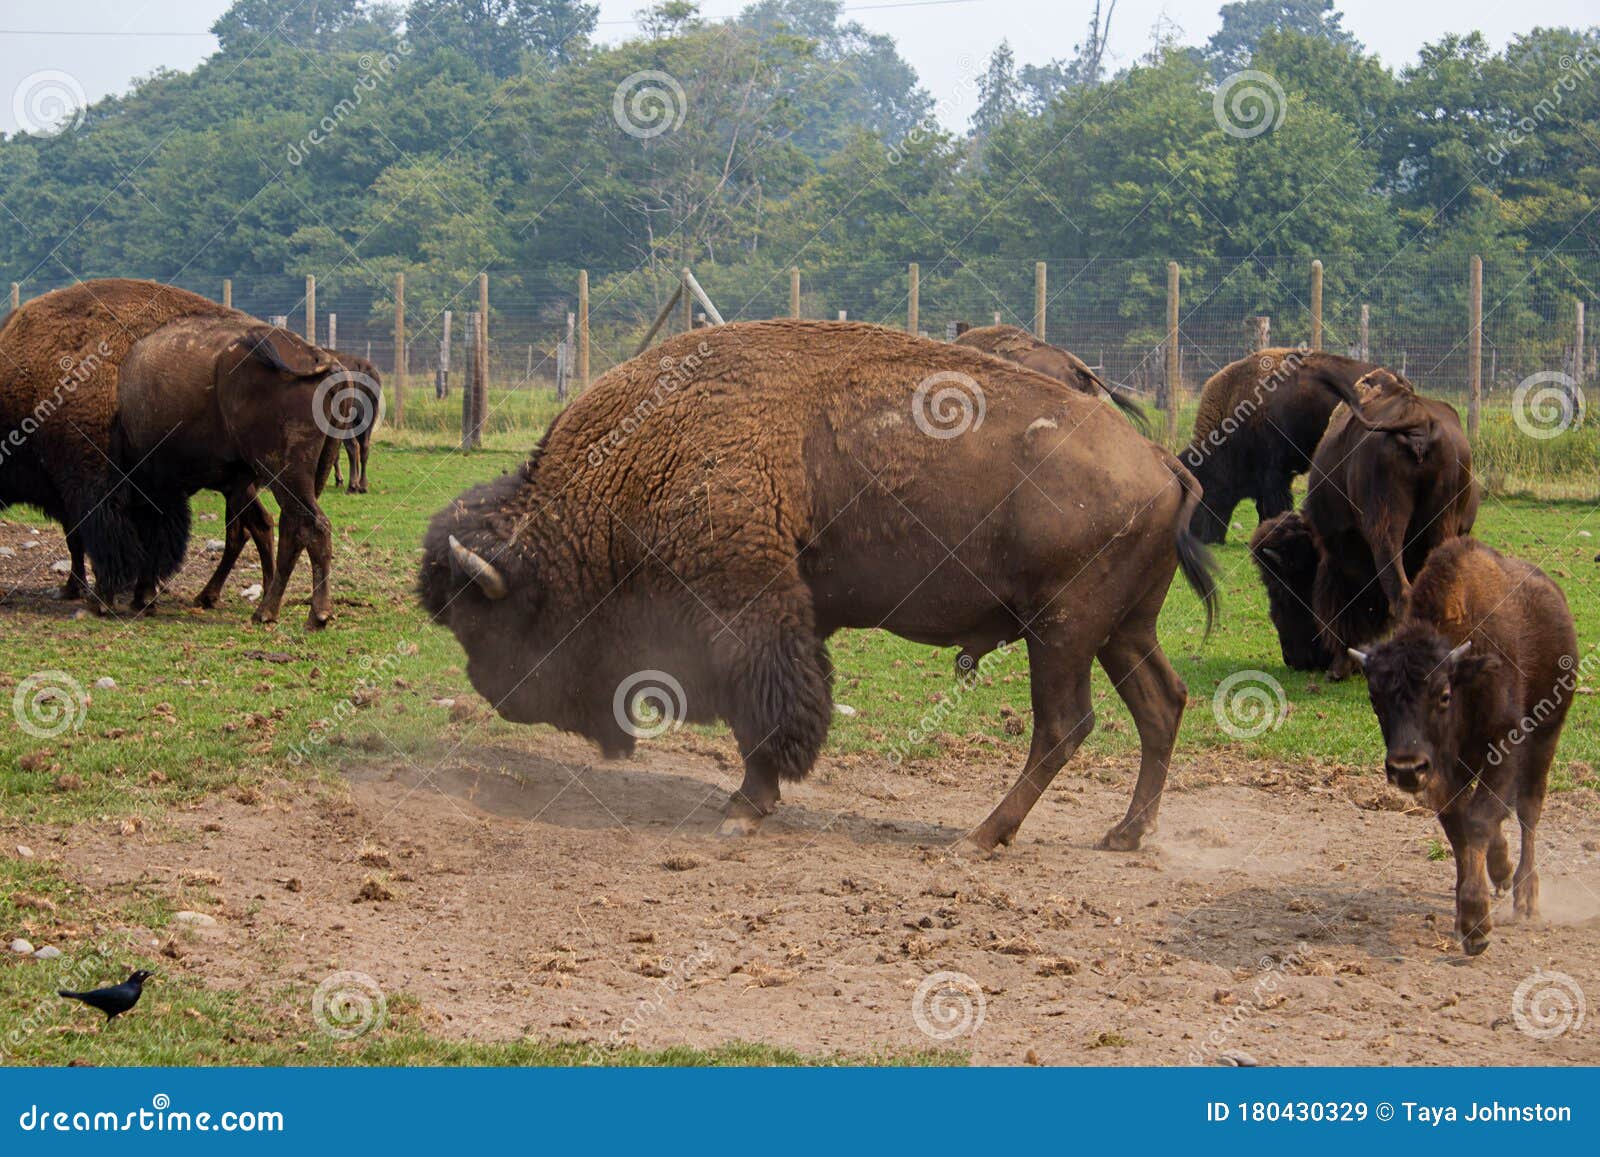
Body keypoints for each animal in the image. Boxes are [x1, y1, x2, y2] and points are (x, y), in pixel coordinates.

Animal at [422, 320, 1218, 853]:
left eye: (494, 619)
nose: (503, 697)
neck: (636, 462)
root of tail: (1160, 461)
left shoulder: (749, 617)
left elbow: (765, 715)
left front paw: (742, 808)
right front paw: (751, 802)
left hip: (1062, 632)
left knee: (1064, 727)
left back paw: (979, 837)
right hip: (1121, 630)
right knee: (1162, 704)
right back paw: (1123, 832)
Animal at [1349, 538, 1576, 955]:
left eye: (1443, 695)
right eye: (1375, 699)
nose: (1406, 768)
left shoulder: (1505, 746)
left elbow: (1479, 820)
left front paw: (1476, 926)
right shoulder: (1444, 770)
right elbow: (1459, 828)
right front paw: (1468, 911)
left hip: (1547, 735)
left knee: (1529, 811)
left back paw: (1526, 896)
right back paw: (1501, 872)